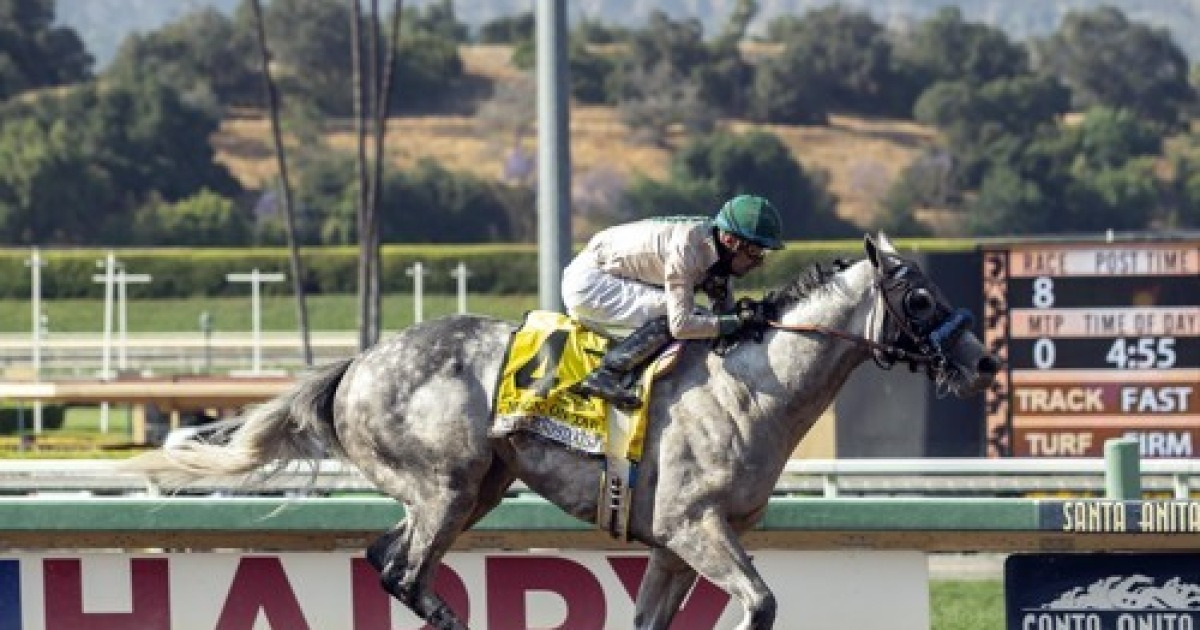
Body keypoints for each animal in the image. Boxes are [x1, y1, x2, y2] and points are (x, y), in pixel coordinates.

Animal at [123, 233, 999, 630]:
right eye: (920, 299)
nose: (985, 360)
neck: (752, 388)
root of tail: (360, 362)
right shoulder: (698, 528)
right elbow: (759, 604)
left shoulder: (673, 544)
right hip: (444, 486)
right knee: (405, 572)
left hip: (477, 487)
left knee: (385, 560)